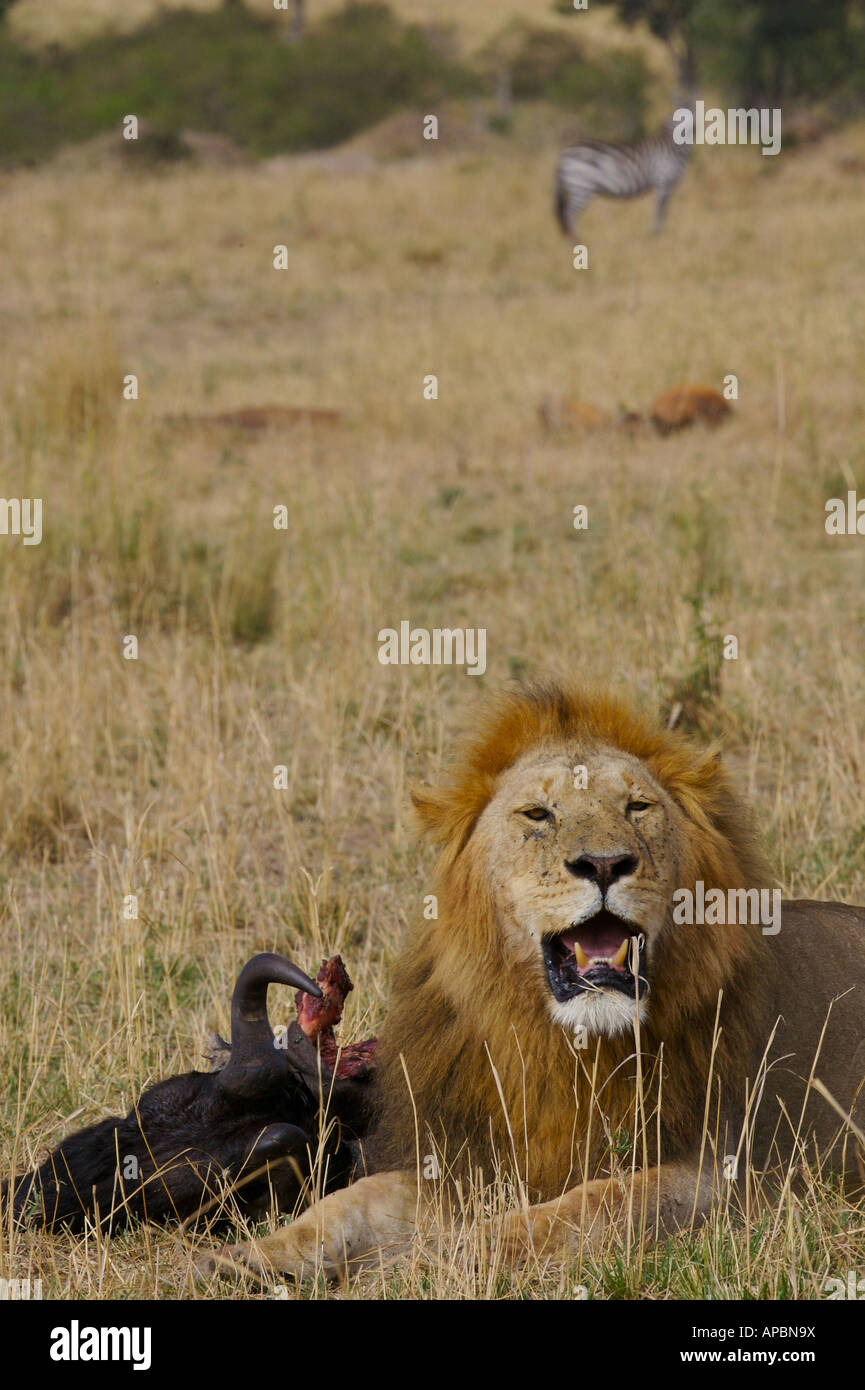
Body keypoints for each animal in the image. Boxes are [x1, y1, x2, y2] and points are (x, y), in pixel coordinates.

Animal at [200, 681, 865, 1280]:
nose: (604, 863)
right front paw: (246, 1257)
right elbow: (350, 1201)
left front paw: (454, 1251)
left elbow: (590, 1206)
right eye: (538, 814)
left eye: (638, 808)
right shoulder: (466, 1158)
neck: (563, 1042)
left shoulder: (722, 1173)